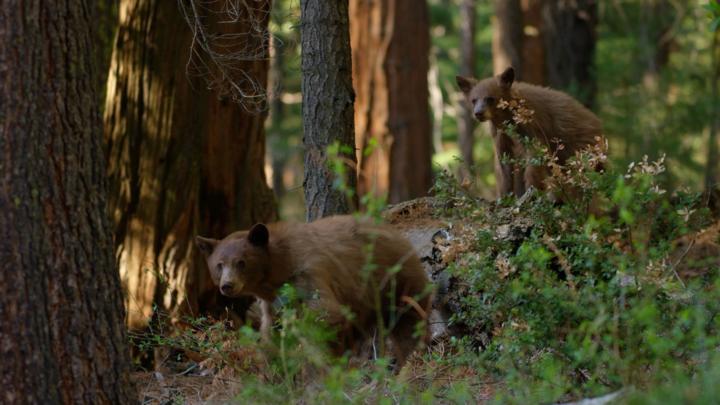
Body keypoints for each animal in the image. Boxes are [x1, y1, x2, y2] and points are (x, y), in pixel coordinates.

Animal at [195, 215, 432, 368]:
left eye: (241, 262)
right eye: (219, 265)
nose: (227, 285)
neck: (279, 268)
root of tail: (398, 233)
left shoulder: (308, 274)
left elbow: (326, 315)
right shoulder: (274, 303)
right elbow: (273, 330)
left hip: (395, 279)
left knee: (408, 320)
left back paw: (410, 357)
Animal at [456, 67, 606, 197]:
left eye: (490, 98)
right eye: (474, 100)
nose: (478, 113)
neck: (507, 117)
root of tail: (598, 122)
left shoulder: (532, 126)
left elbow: (534, 159)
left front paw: (531, 193)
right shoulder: (500, 134)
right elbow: (505, 164)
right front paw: (506, 196)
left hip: (580, 147)